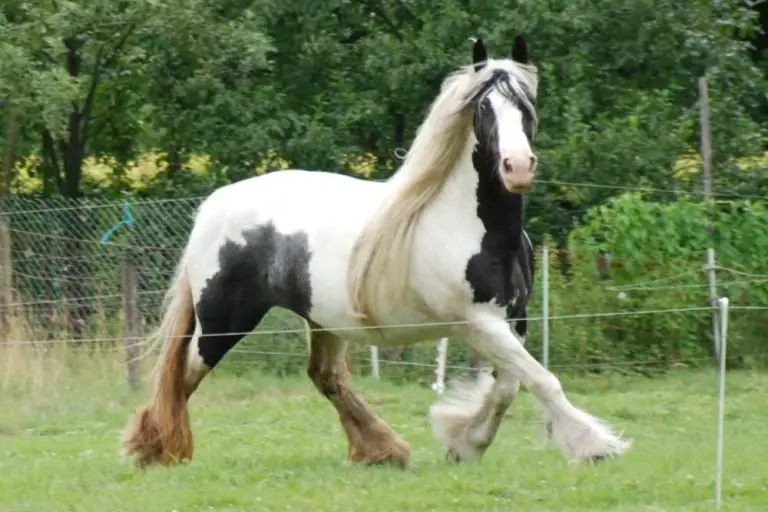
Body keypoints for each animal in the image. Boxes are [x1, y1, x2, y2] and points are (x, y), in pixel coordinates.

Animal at [121, 36, 630, 469]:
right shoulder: (480, 322)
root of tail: (213, 206)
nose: (517, 167)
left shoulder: (513, 318)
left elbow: (507, 386)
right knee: (183, 375)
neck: (472, 228)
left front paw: (464, 442)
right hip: (224, 321)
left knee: (326, 377)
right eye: (483, 107)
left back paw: (381, 450)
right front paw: (595, 446)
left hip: (323, 320)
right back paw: (155, 449)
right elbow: (540, 380)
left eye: (527, 103)